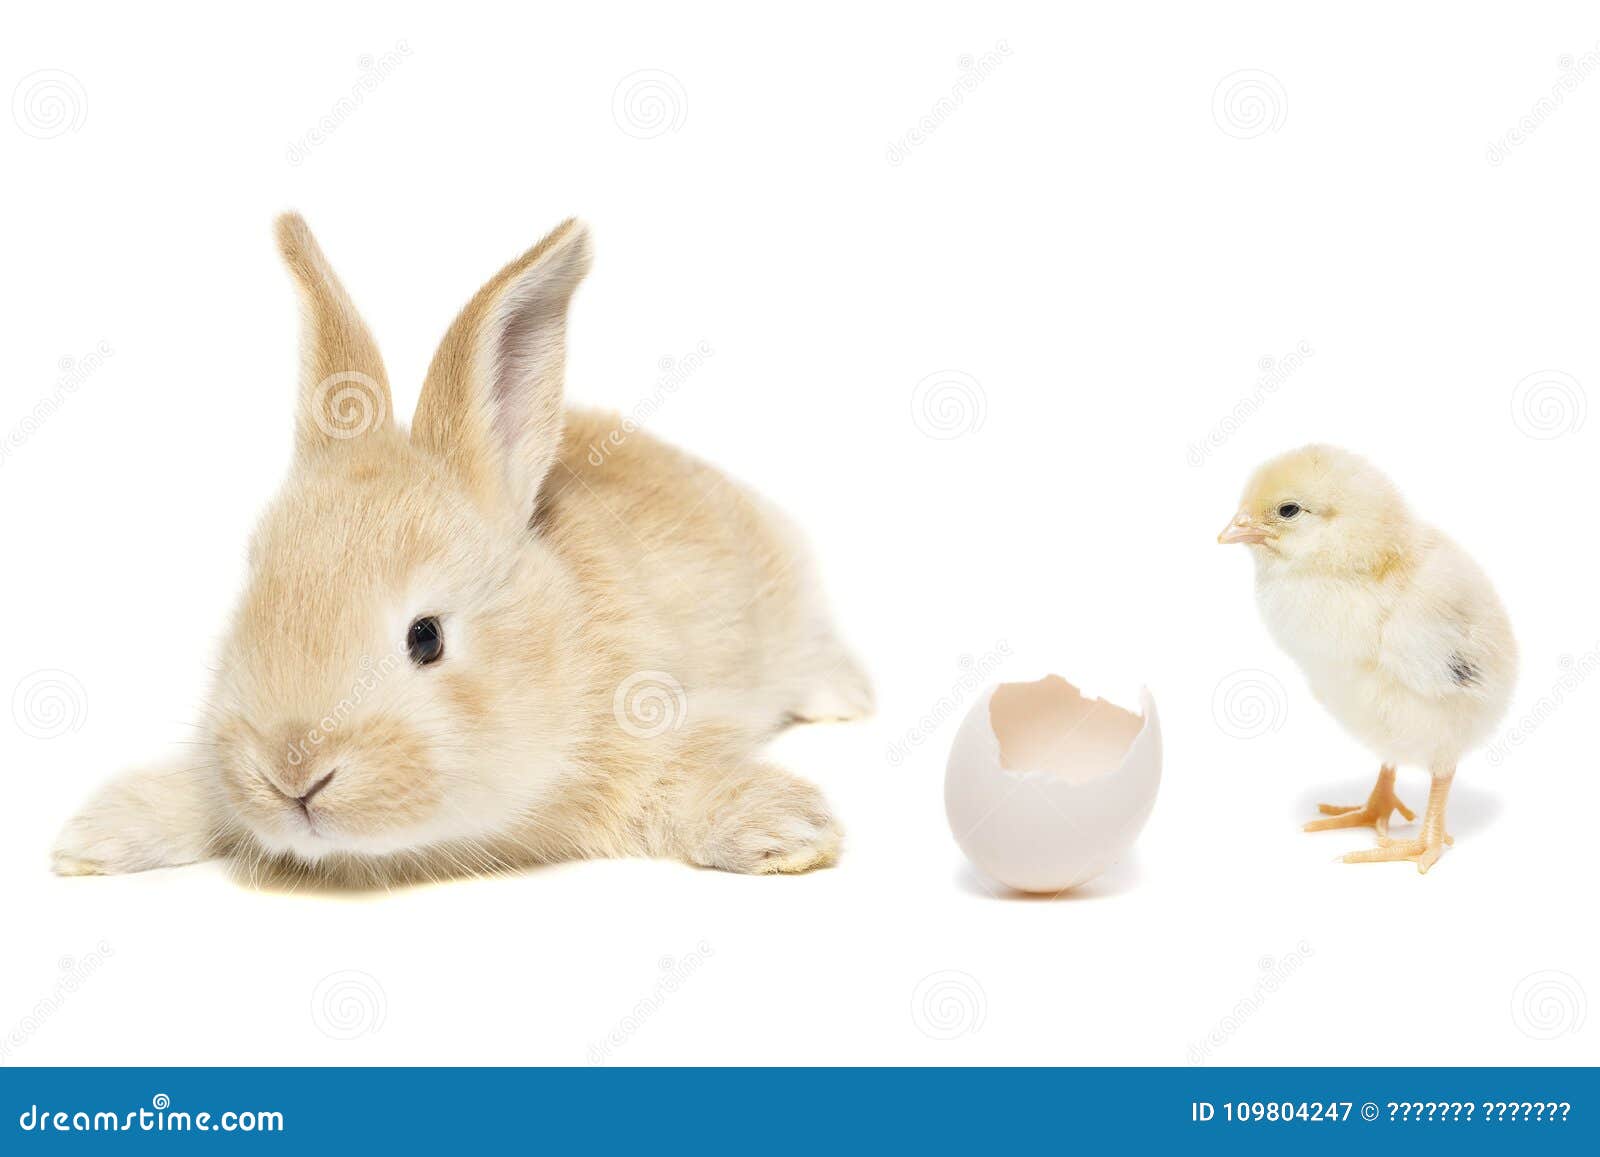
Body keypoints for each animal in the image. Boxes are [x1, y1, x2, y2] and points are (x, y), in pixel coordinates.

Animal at [51, 214, 873, 887]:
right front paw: (96, 834)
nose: (293, 771)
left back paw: (847, 700)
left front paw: (787, 829)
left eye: (427, 638)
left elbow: (681, 785)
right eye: (250, 603)